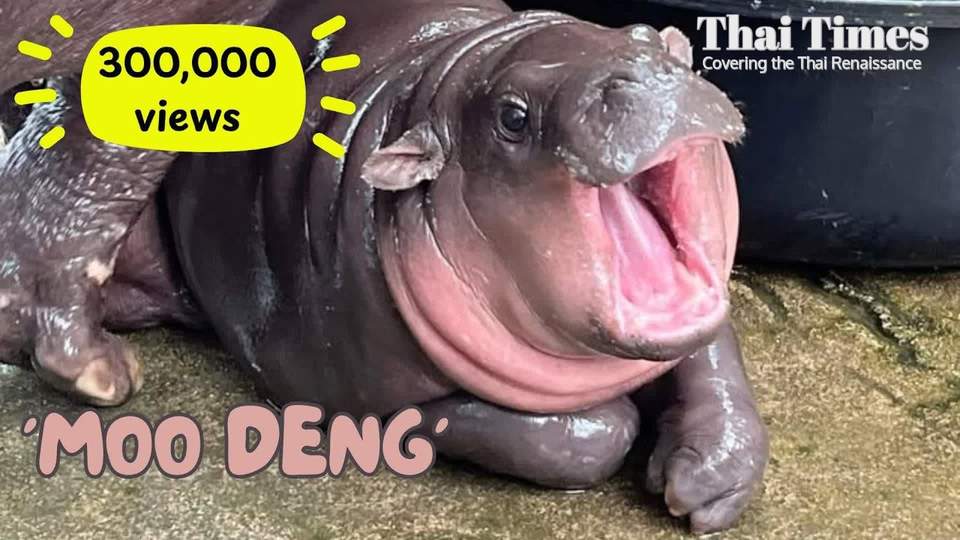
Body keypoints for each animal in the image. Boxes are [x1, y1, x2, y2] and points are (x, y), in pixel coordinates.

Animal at [0, 0, 768, 533]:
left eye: (651, 39)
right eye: (513, 117)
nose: (647, 75)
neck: (437, 79)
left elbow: (710, 350)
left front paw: (701, 484)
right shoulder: (338, 369)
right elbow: (586, 436)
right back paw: (102, 371)